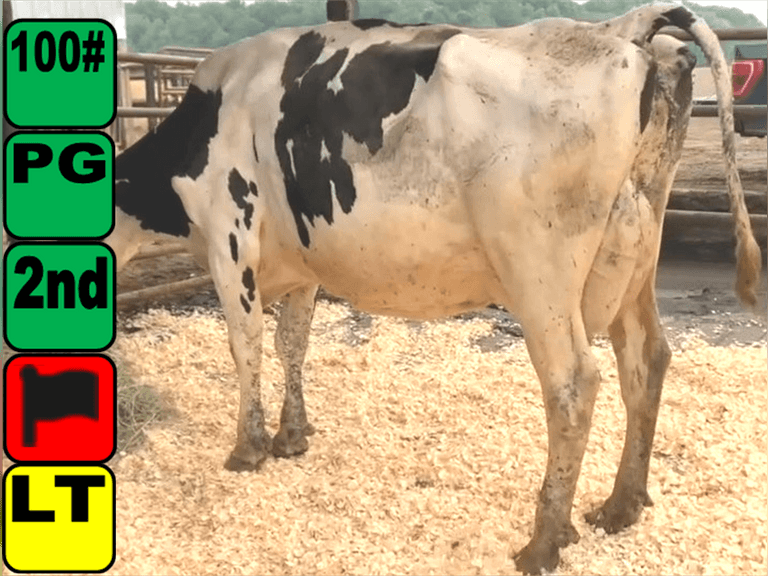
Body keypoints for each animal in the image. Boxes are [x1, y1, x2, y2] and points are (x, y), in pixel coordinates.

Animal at [108, 4, 761, 573]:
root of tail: (625, 29)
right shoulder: (301, 265)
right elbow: (292, 344)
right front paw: (293, 435)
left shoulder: (230, 238)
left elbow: (245, 346)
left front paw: (248, 448)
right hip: (636, 258)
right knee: (646, 360)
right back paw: (621, 506)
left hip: (539, 273)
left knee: (574, 383)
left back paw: (545, 542)